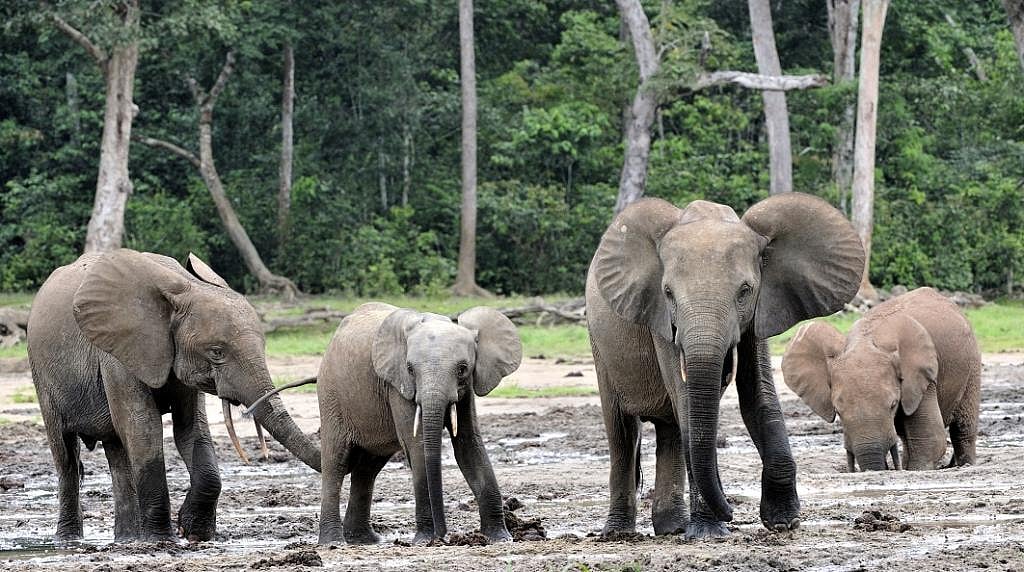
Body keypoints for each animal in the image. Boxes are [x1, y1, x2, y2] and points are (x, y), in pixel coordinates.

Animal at [27, 249, 321, 543]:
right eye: (216, 352)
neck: (184, 288)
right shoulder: (118, 352)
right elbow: (144, 428)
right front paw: (163, 539)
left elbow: (191, 429)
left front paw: (194, 532)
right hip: (42, 374)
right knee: (66, 455)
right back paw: (68, 539)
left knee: (117, 452)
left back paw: (127, 539)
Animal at [316, 302, 520, 545]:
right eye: (410, 369)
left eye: (462, 368)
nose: (444, 537)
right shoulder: (397, 385)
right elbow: (417, 446)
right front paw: (424, 540)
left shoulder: (468, 386)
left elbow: (469, 444)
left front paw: (501, 538)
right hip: (331, 395)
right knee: (335, 462)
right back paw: (333, 542)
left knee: (367, 468)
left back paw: (364, 539)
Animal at [586, 192, 864, 539]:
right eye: (668, 293)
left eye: (744, 291)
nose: (732, 512)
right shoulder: (660, 319)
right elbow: (687, 402)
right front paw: (709, 532)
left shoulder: (761, 309)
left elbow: (760, 396)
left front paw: (784, 521)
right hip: (599, 344)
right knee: (623, 432)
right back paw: (620, 533)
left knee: (671, 429)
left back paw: (672, 529)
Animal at [782, 287, 981, 472]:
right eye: (837, 410)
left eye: (893, 404)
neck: (865, 340)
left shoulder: (923, 378)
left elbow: (931, 438)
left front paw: (916, 469)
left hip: (972, 362)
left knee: (963, 428)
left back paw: (965, 464)